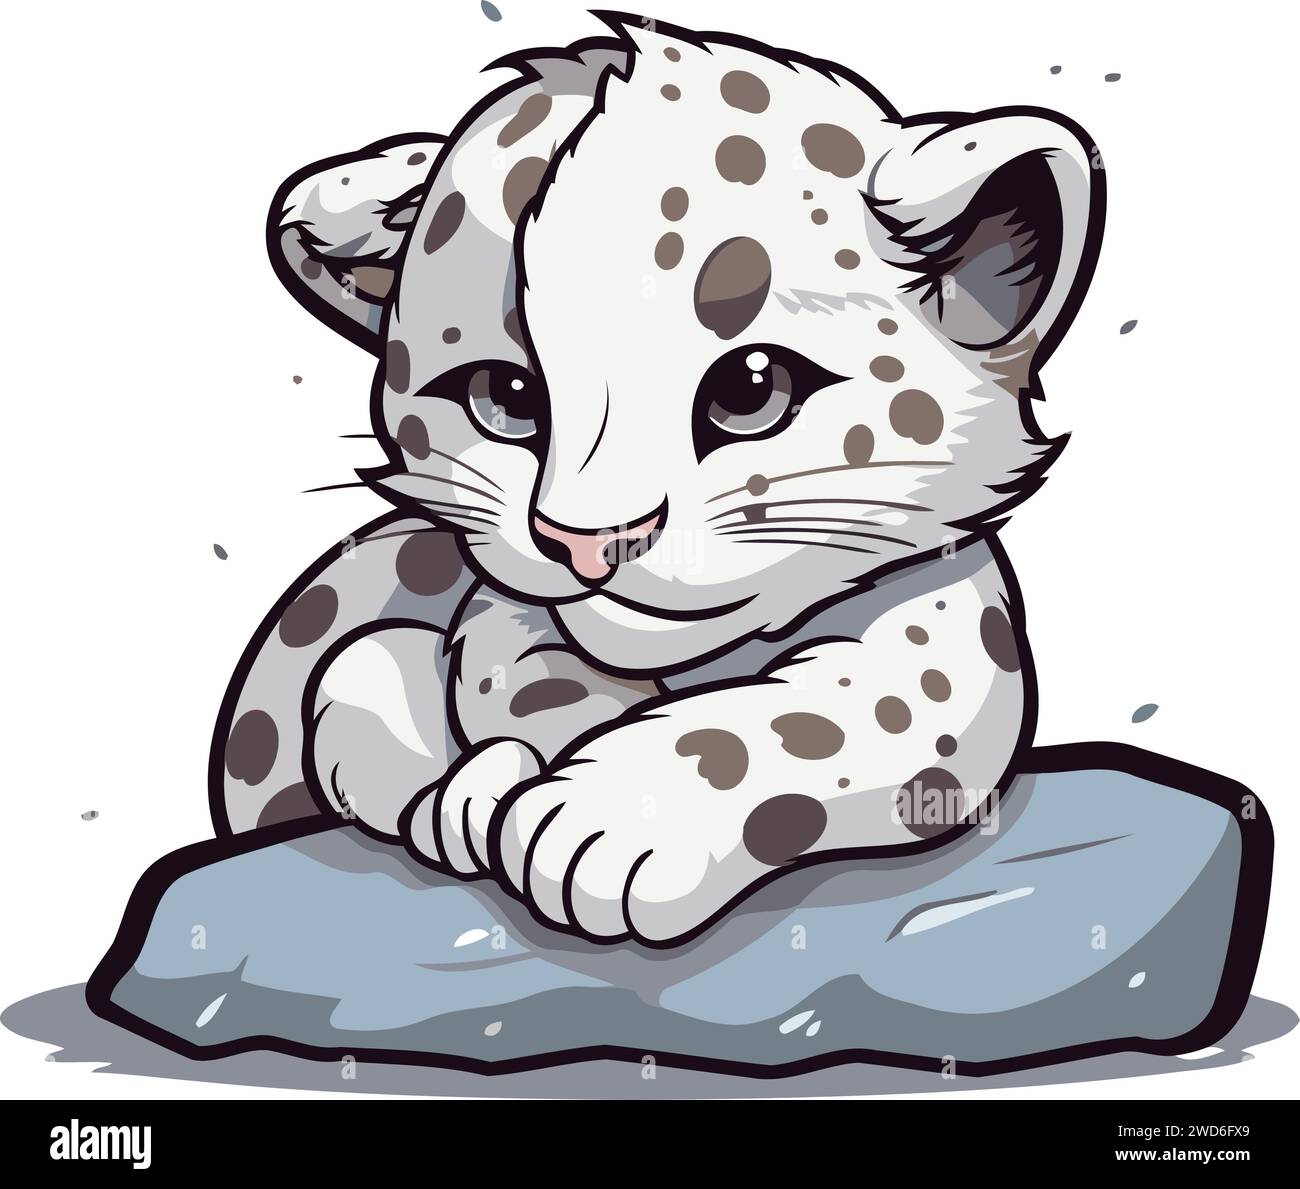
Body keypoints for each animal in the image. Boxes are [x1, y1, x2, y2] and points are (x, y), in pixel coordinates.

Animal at [213, 12, 1104, 945]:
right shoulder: (488, 625)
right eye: (508, 396)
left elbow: (814, 720)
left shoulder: (948, 638)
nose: (586, 541)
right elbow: (433, 675)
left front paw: (609, 821)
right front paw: (485, 786)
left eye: (753, 388)